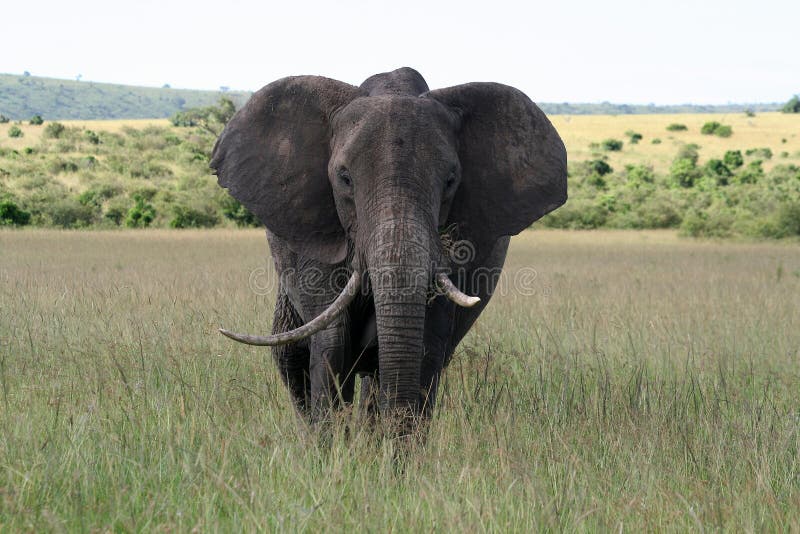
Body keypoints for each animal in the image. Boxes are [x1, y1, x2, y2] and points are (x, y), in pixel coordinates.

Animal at [211, 67, 567, 435]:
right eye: (344, 178)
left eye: (451, 180)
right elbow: (332, 343)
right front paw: (333, 449)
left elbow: (424, 345)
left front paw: (392, 448)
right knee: (292, 357)